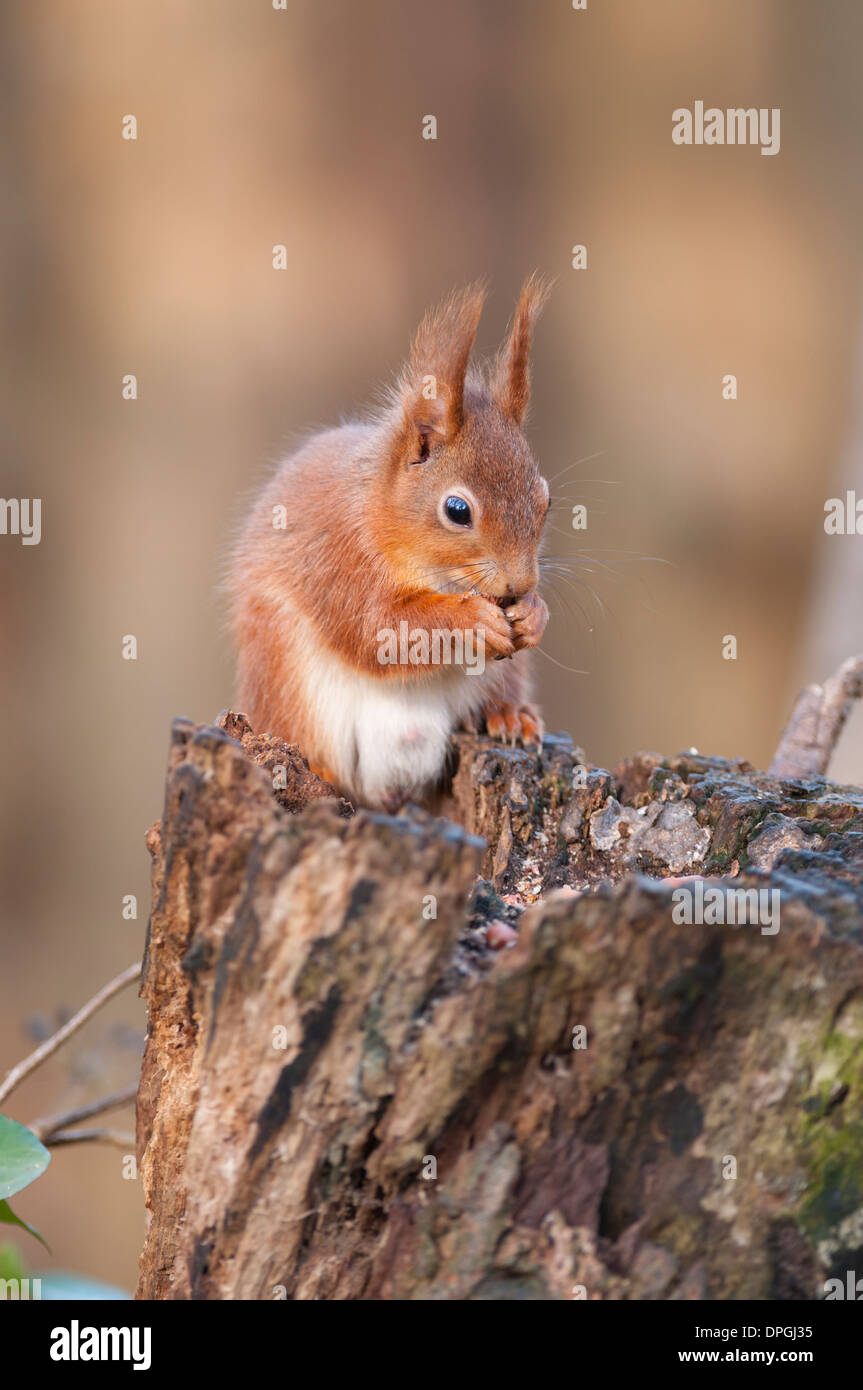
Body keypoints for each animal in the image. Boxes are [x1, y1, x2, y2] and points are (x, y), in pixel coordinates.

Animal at [228, 277, 551, 811]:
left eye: (546, 499)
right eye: (457, 510)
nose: (519, 584)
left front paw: (533, 614)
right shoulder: (338, 555)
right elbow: (379, 629)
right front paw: (471, 620)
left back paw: (509, 714)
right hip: (287, 683)